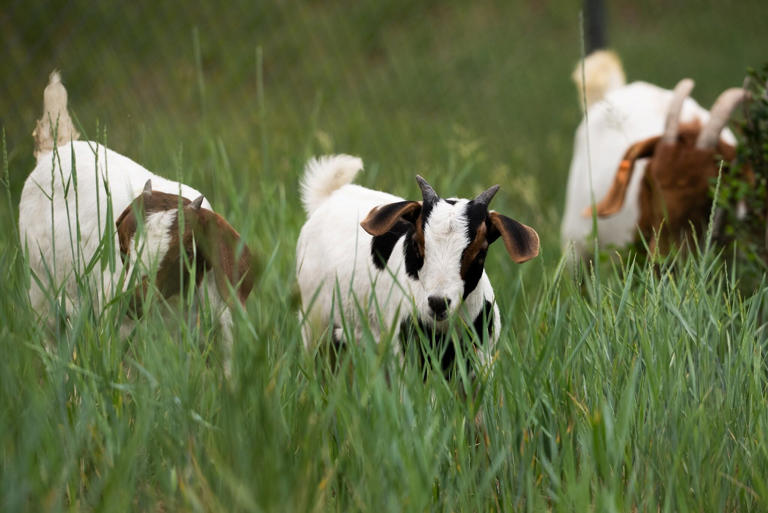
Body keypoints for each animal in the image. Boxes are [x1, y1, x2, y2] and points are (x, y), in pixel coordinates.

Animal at [295, 155, 540, 373]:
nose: (438, 302)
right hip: (314, 321)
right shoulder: (406, 355)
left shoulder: (481, 361)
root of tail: (331, 196)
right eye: (416, 244)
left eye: (480, 250)